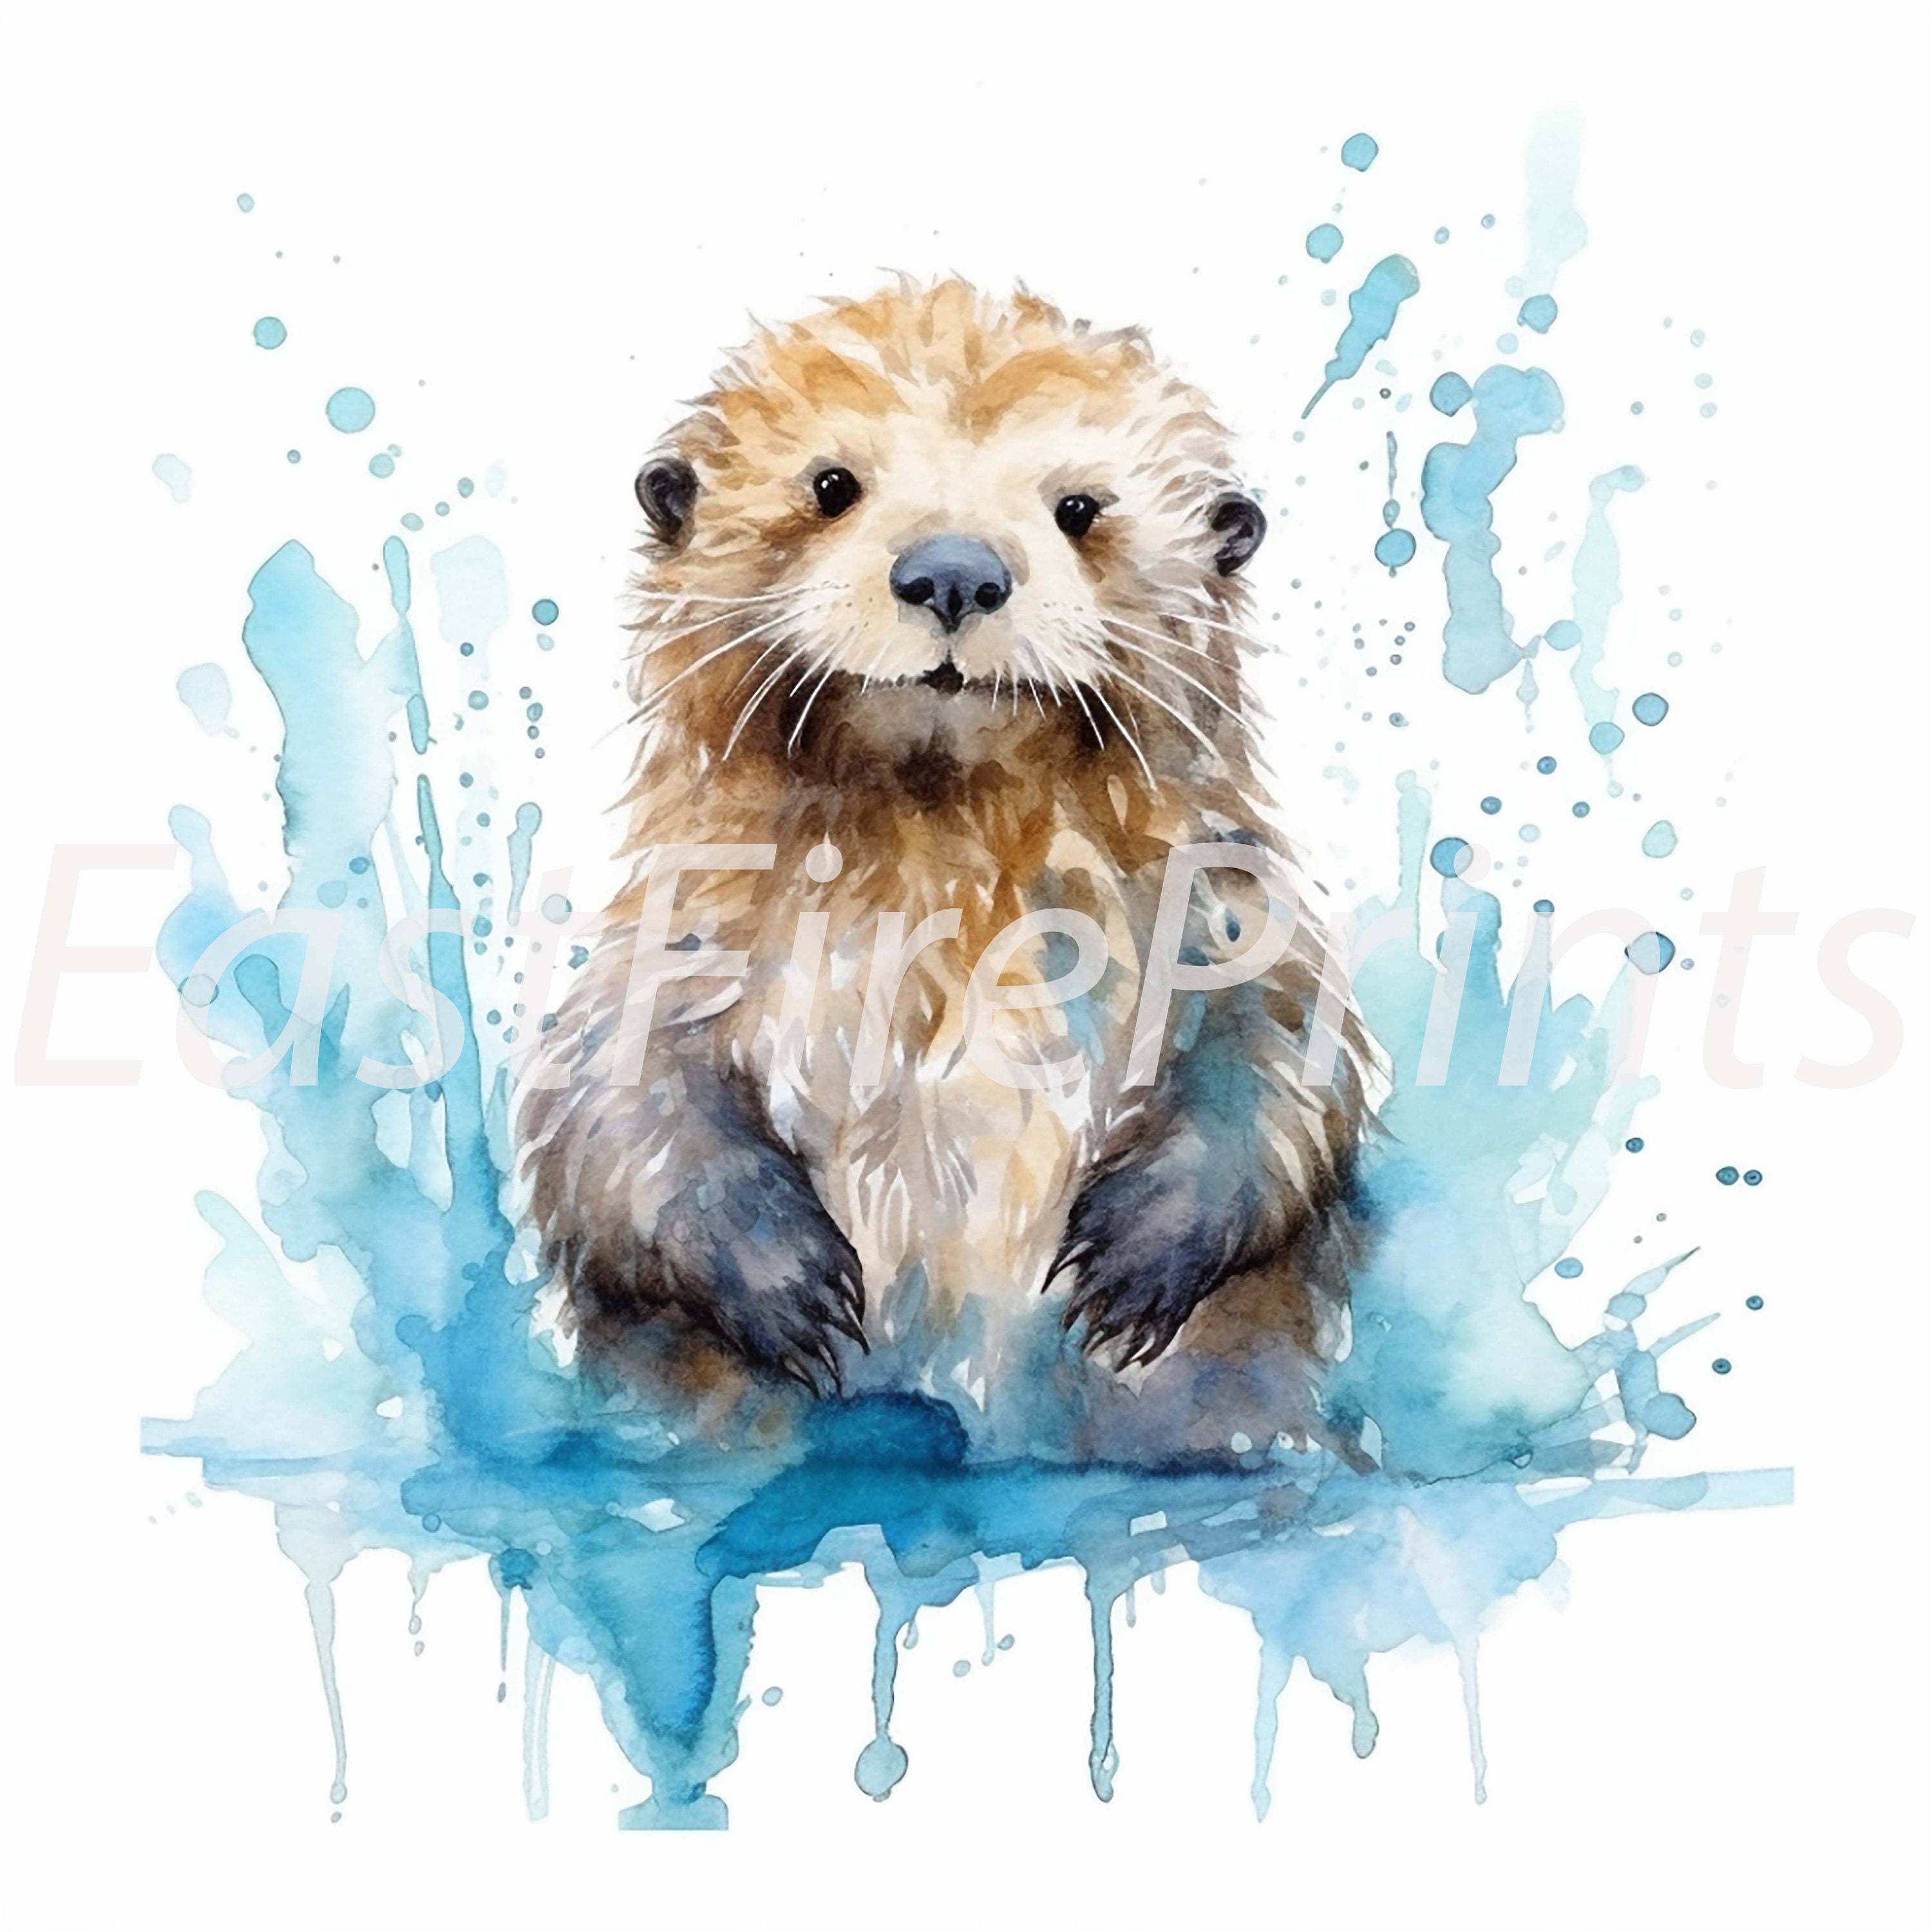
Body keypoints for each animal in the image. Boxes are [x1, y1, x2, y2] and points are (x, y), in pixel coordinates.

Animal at [520, 279, 1374, 1454]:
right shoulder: (672, 940)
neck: (945, 864)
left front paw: (1129, 1261)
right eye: (831, 486)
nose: (954, 571)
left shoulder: (1223, 910)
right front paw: (798, 1293)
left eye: (1080, 509)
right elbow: (613, 1110)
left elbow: (1287, 1064)